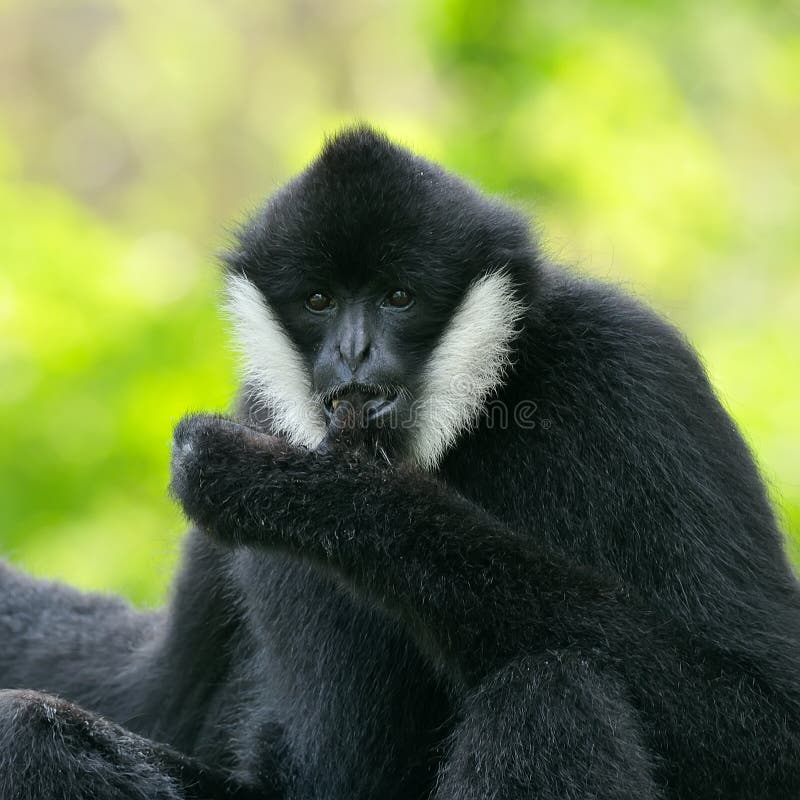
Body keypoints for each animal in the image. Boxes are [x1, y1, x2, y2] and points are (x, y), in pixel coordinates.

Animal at [2, 125, 800, 800]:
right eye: (319, 301)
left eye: (398, 296)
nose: (352, 352)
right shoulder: (257, 402)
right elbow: (154, 696)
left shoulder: (637, 372)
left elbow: (766, 721)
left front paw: (326, 497)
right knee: (32, 732)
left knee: (550, 690)